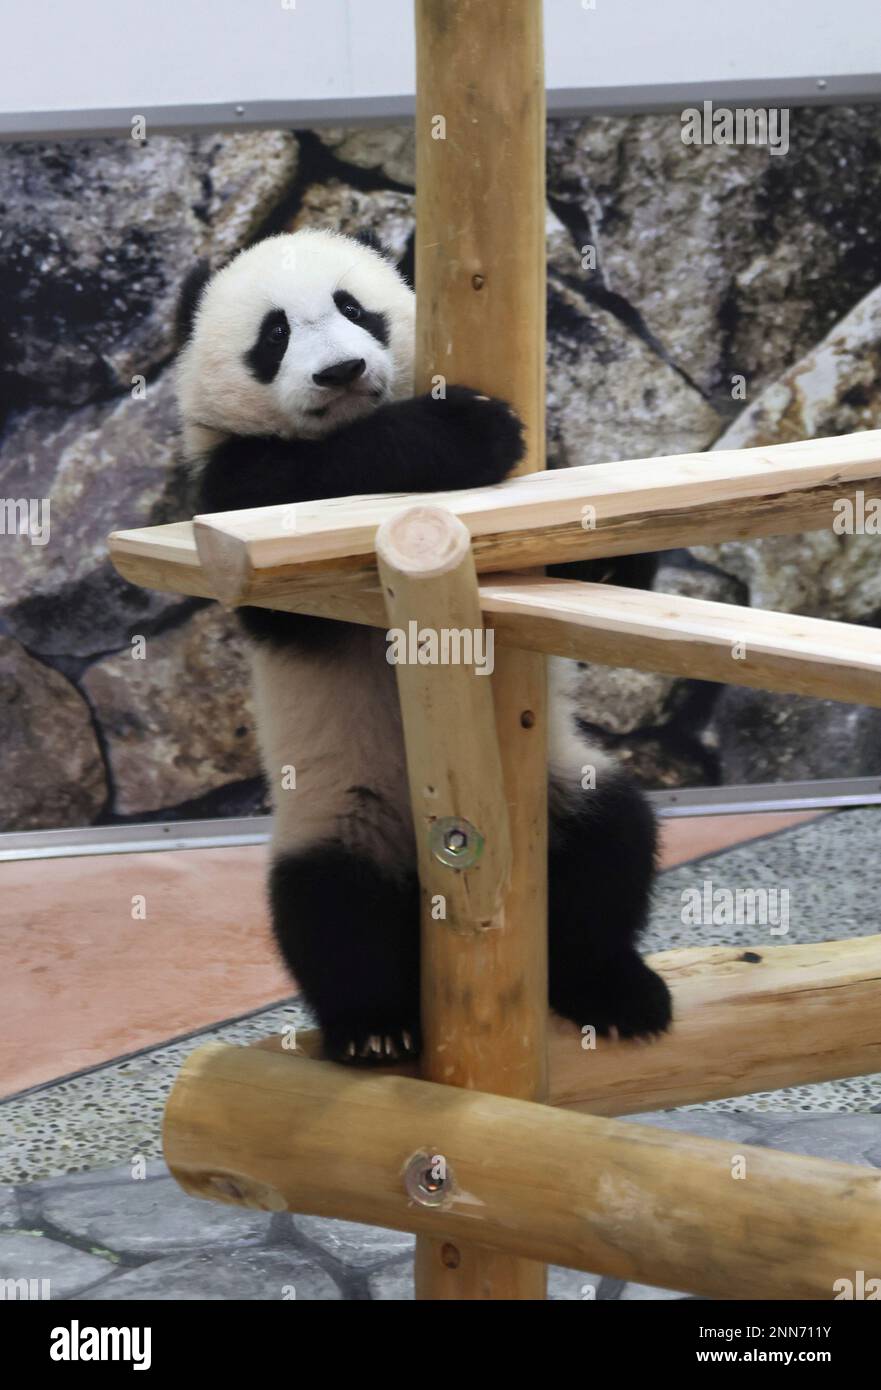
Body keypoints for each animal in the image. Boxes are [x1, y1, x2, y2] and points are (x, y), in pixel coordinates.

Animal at [174, 227, 672, 1064]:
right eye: (273, 337)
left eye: (353, 308)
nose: (340, 371)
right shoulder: (230, 494)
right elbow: (302, 514)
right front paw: (467, 433)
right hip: (341, 811)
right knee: (330, 912)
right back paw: (375, 1028)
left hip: (560, 785)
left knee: (608, 846)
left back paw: (614, 991)